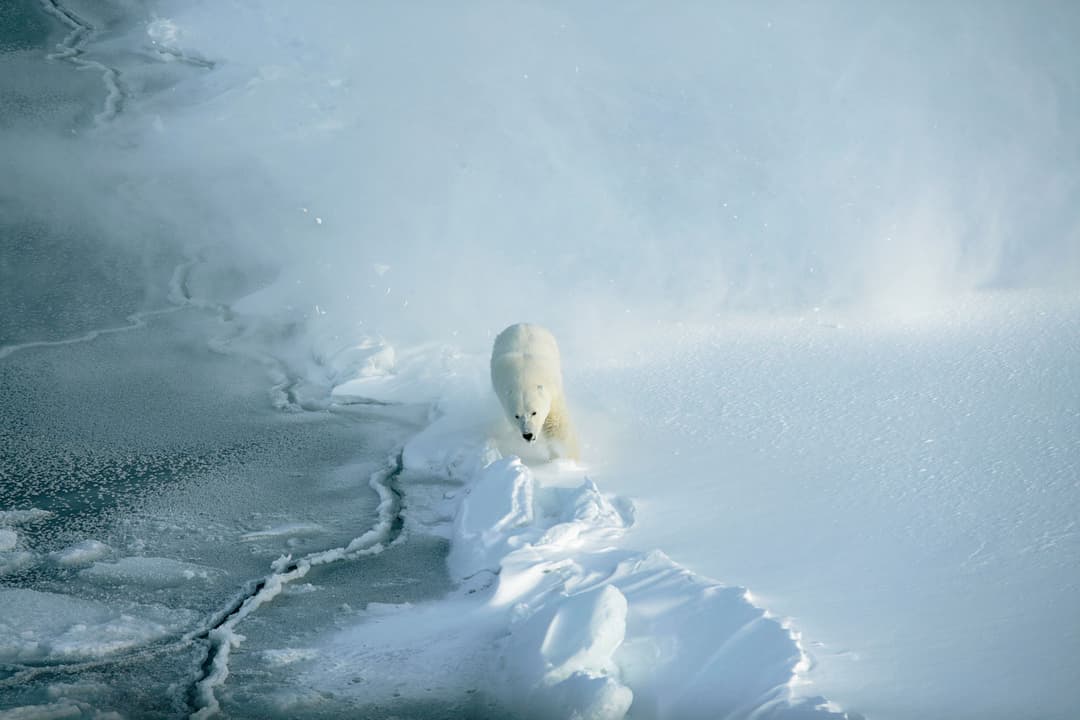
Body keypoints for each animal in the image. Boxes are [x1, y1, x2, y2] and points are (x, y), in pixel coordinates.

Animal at [491, 323, 580, 460]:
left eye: (534, 412)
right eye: (516, 415)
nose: (528, 435)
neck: (524, 377)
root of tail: (522, 323)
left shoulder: (552, 390)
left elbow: (556, 425)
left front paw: (568, 457)